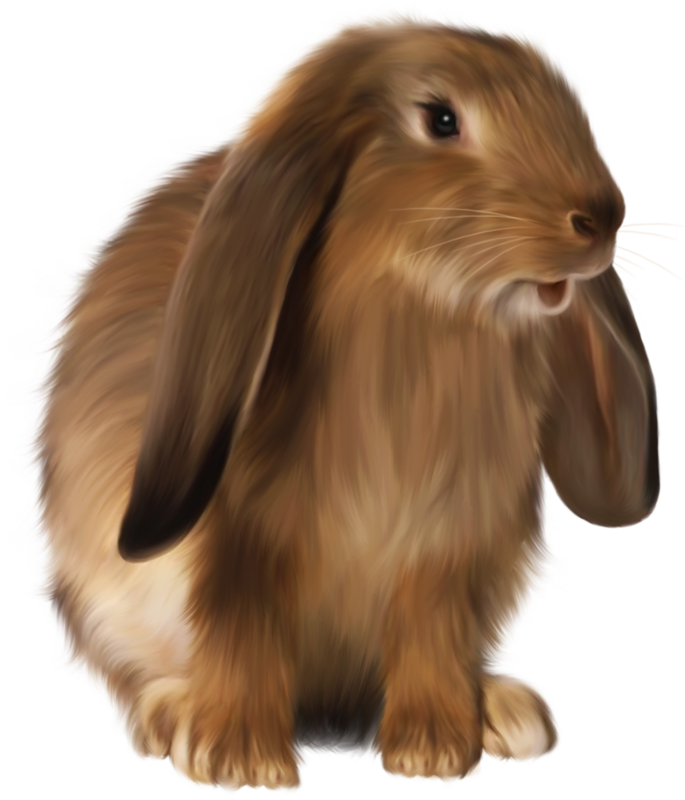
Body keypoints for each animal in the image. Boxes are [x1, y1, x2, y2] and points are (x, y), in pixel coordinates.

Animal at [18, 4, 661, 795]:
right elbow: (242, 630)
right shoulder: (239, 549)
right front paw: (239, 758)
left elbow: (429, 633)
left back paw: (510, 712)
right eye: (440, 119)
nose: (600, 216)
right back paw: (171, 717)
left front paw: (433, 748)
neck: (416, 324)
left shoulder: (447, 549)